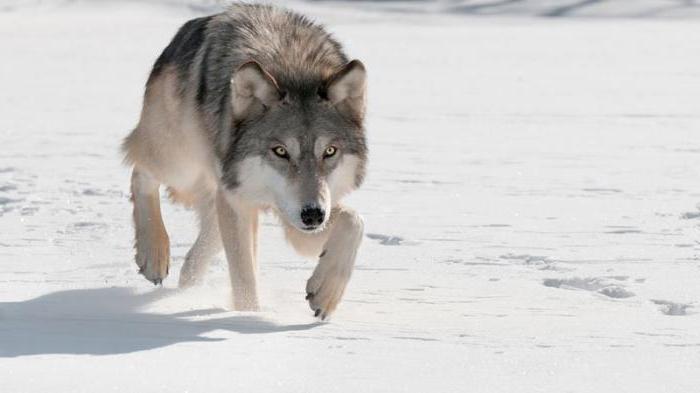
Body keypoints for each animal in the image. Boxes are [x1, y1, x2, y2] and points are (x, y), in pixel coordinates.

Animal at [121, 3, 370, 318]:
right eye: (280, 151)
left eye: (329, 152)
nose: (313, 214)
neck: (293, 67)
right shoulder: (242, 201)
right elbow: (244, 278)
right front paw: (248, 318)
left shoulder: (299, 219)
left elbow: (354, 221)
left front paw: (326, 293)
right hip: (180, 164)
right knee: (140, 171)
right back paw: (153, 256)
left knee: (199, 250)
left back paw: (187, 286)